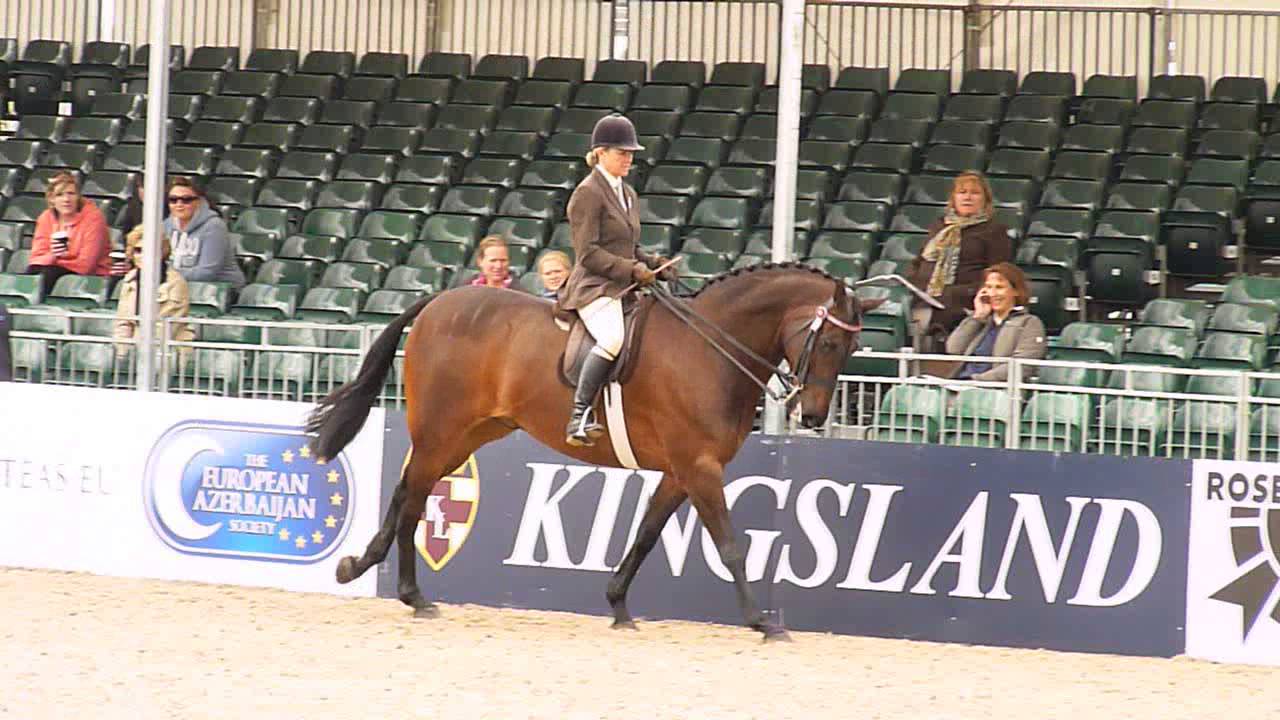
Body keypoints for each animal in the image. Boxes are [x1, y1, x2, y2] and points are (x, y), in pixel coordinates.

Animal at [307, 262, 883, 641]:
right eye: (829, 343)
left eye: (853, 349)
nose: (812, 416)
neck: (710, 349)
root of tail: (440, 301)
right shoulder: (700, 468)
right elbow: (729, 545)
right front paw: (762, 622)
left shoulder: (681, 471)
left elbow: (646, 536)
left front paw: (619, 606)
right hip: (441, 429)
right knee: (414, 497)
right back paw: (412, 594)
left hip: (470, 433)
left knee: (411, 488)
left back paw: (361, 567)